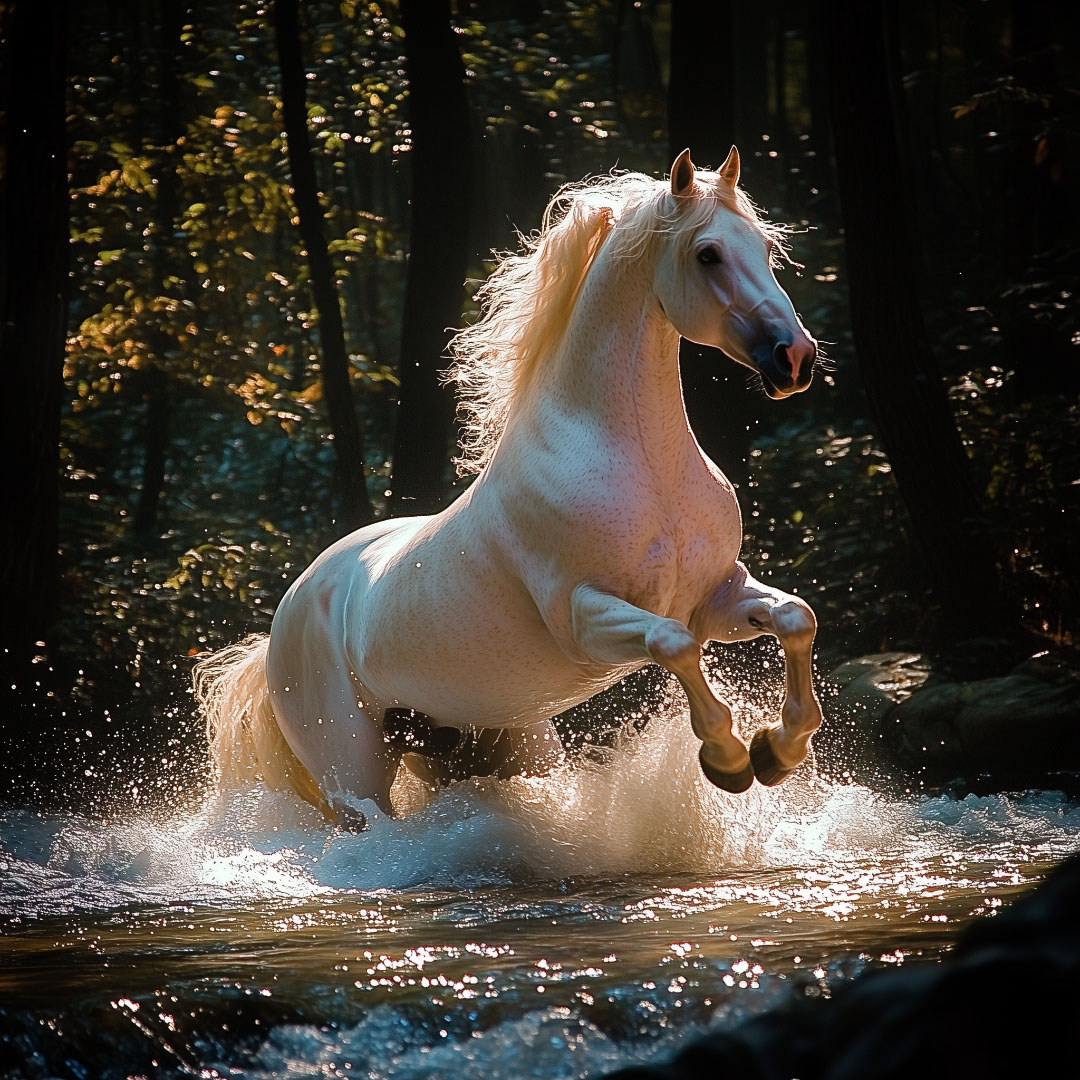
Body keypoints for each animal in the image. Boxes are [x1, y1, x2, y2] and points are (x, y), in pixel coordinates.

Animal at [195, 148, 822, 826]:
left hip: (504, 745)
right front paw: (728, 758)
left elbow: (796, 617)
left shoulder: (716, 598)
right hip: (354, 782)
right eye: (708, 254)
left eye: (765, 247)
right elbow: (673, 643)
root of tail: (281, 624)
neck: (645, 465)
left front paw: (778, 750)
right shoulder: (586, 619)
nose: (795, 358)